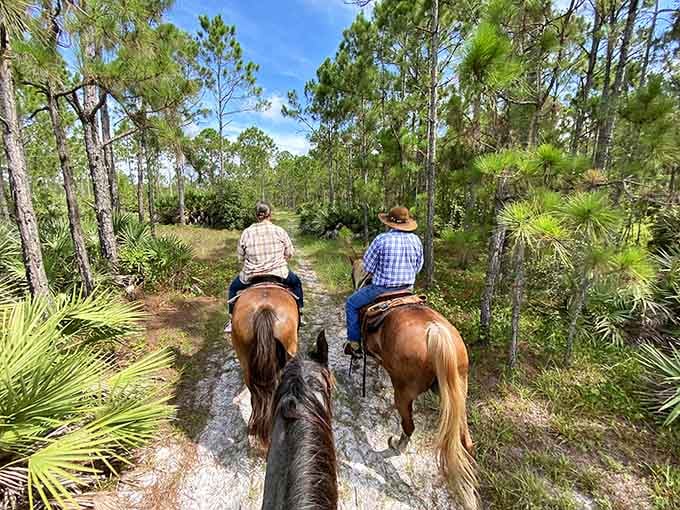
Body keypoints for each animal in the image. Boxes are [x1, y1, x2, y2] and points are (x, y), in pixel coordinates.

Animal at [349, 257, 477, 509]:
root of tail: (436, 331)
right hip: (458, 391)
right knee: (464, 440)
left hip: (404, 392)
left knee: (409, 426)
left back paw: (397, 445)